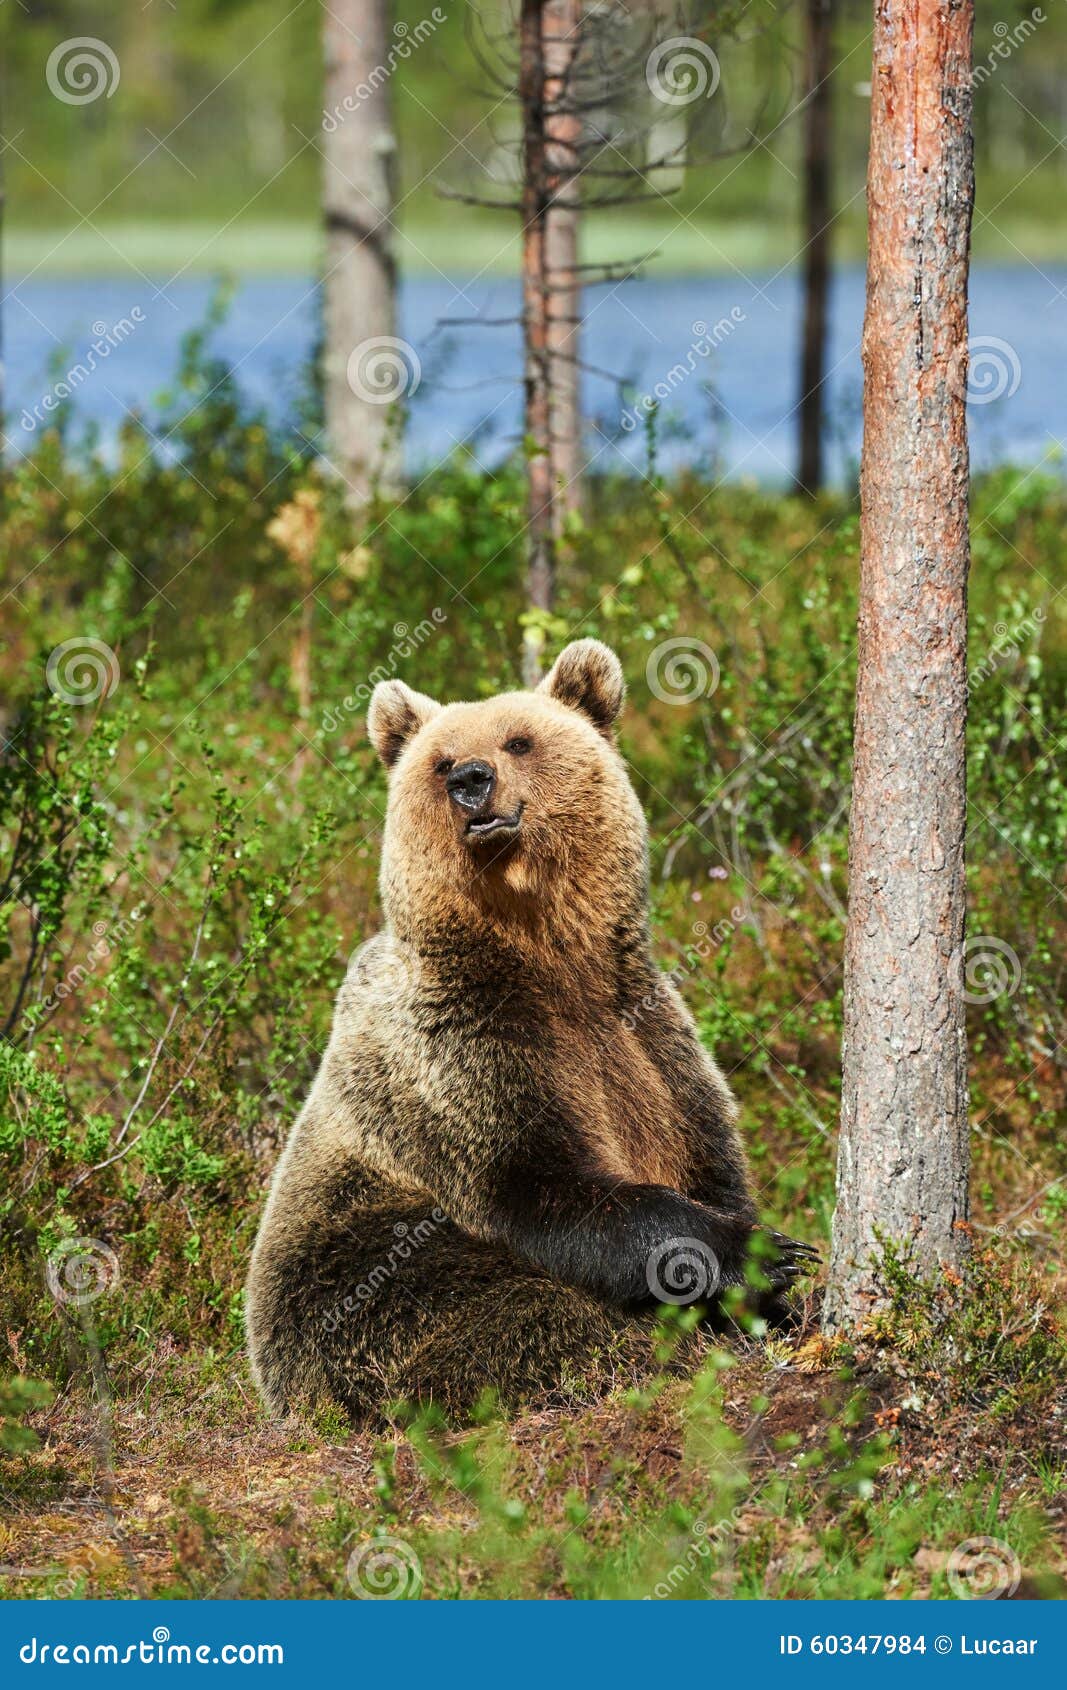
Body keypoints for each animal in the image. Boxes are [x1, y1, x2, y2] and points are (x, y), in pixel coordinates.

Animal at [245, 639, 815, 1422]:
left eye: (519, 740)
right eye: (440, 760)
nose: (471, 781)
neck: (546, 956)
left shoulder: (647, 1035)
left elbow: (708, 1151)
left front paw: (772, 1288)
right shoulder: (461, 1052)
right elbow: (545, 1186)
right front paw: (761, 1253)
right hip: (353, 1268)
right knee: (520, 1315)